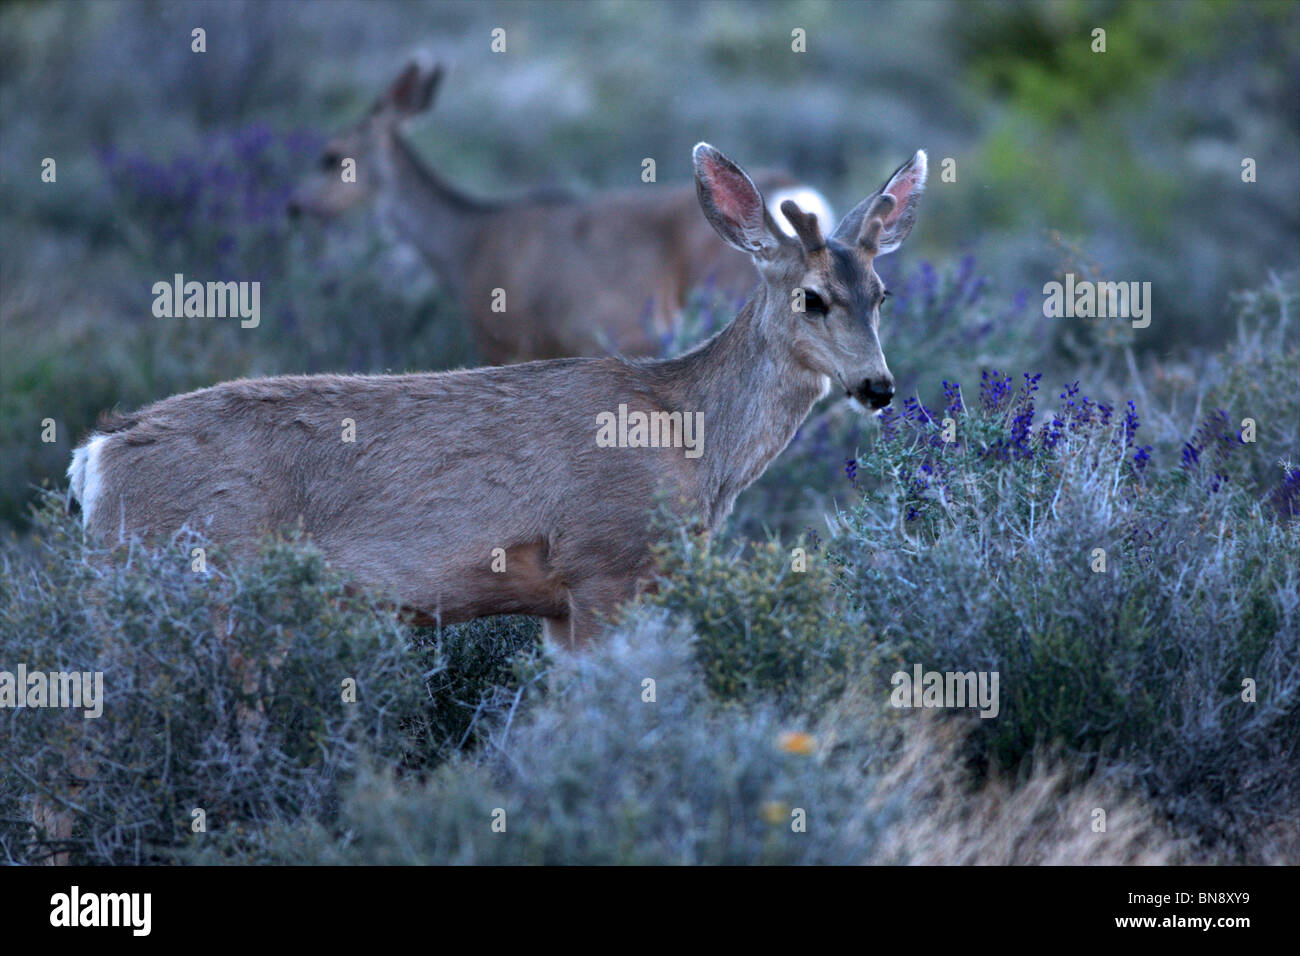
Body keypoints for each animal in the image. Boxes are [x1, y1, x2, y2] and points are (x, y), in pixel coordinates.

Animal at [69, 143, 926, 648]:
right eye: (811, 297)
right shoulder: (602, 564)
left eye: (882, 294)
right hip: (183, 569)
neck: (691, 433)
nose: (878, 386)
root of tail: (98, 455)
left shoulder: (558, 602)